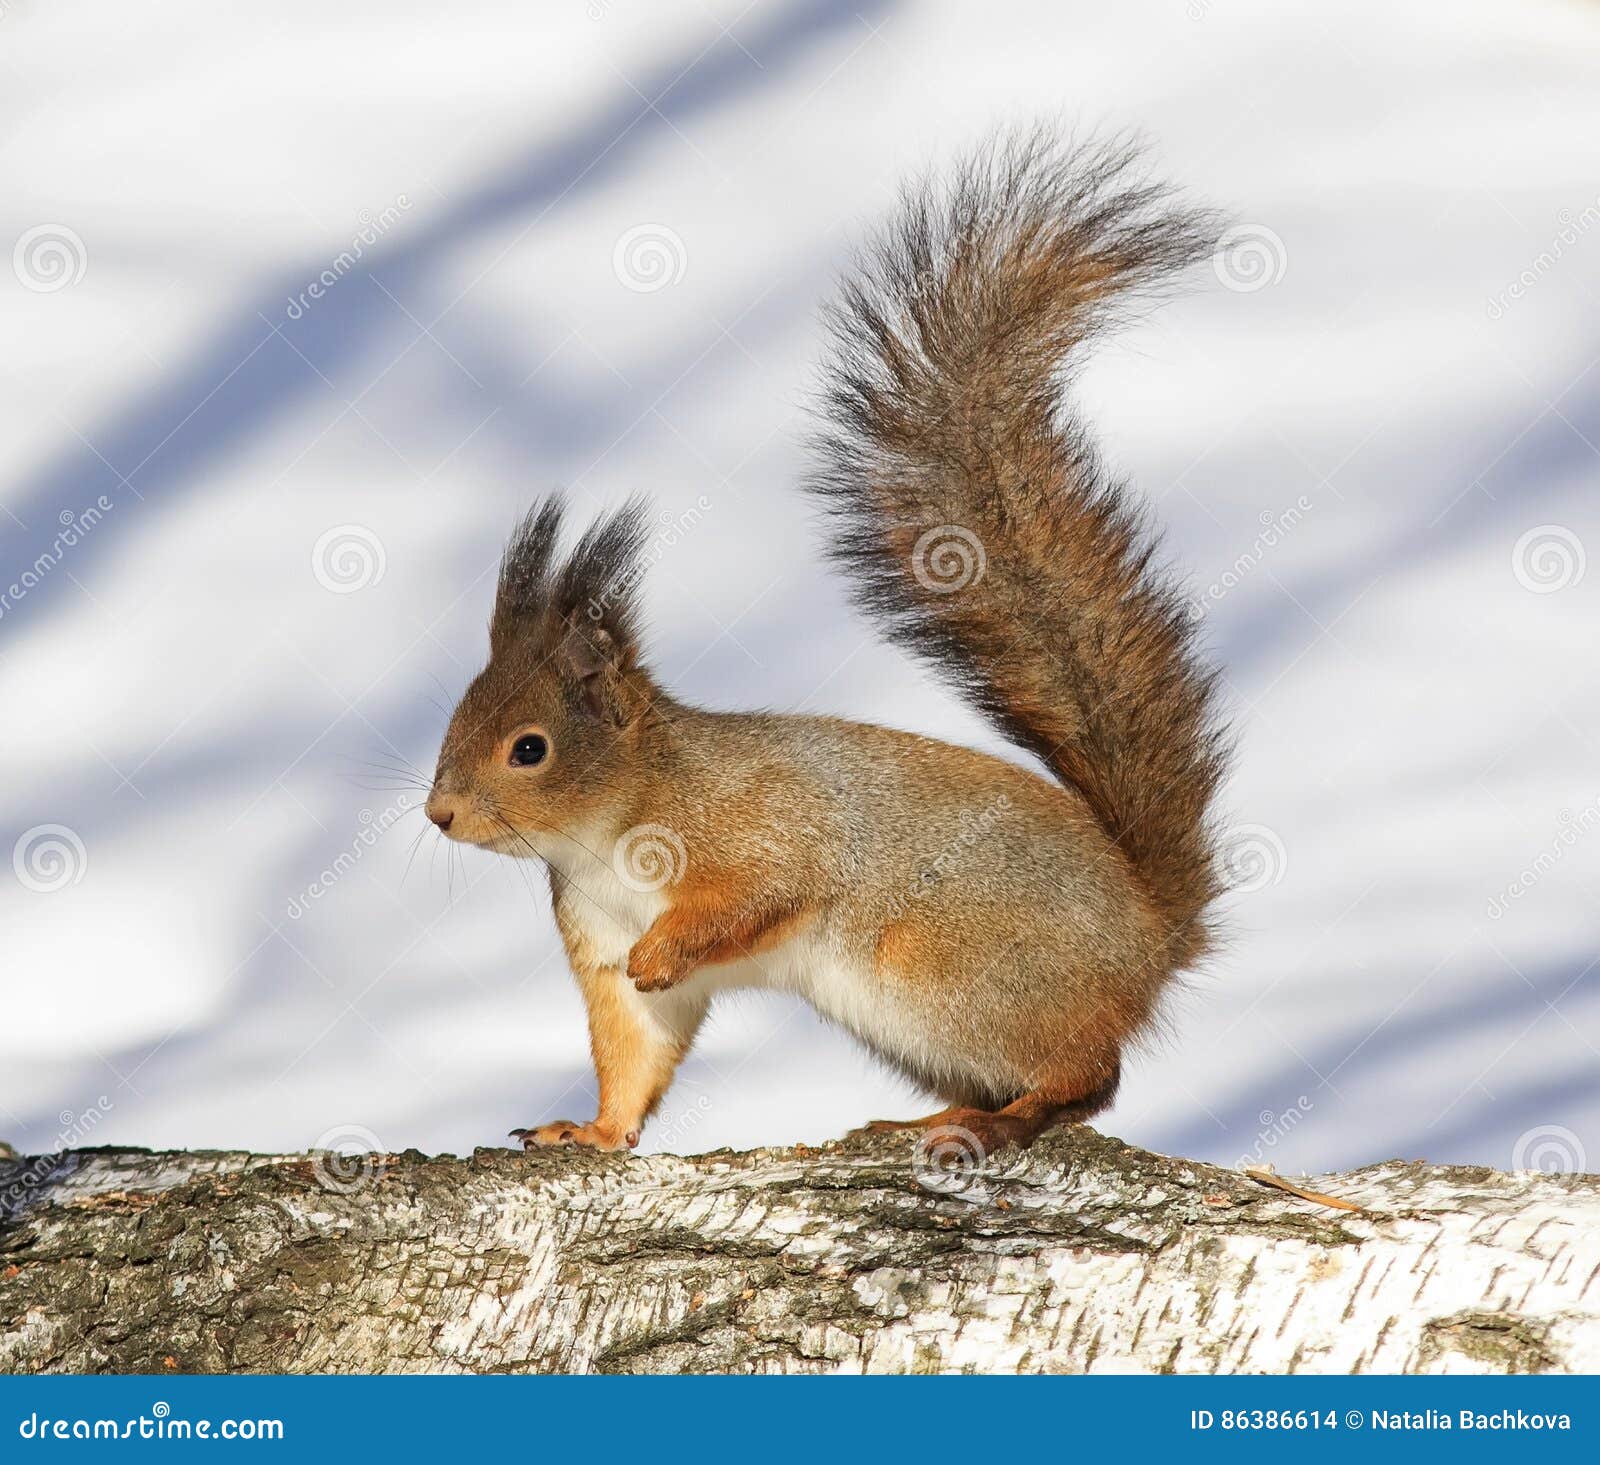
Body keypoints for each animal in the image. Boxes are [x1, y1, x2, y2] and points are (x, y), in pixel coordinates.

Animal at [425, 131, 1229, 1156]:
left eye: (529, 748)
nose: (439, 814)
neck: (604, 831)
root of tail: (1151, 938)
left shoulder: (759, 830)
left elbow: (756, 895)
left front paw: (667, 950)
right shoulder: (597, 947)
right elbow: (635, 1048)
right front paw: (591, 1131)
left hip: (957, 975)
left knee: (1090, 1076)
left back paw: (1002, 1116)